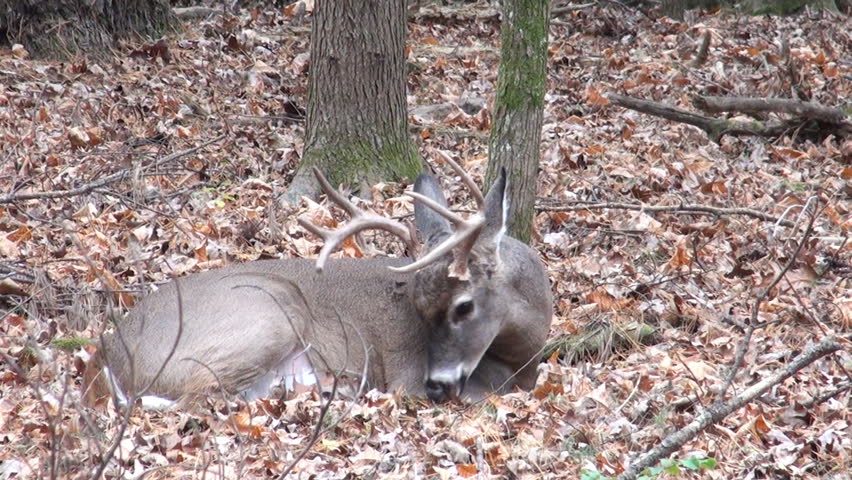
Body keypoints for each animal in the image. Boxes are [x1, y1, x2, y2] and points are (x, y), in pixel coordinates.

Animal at [89, 157, 553, 408]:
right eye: (419, 311)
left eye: (463, 305)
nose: (436, 384)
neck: (521, 357)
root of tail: (109, 350)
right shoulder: (406, 375)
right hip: (269, 310)